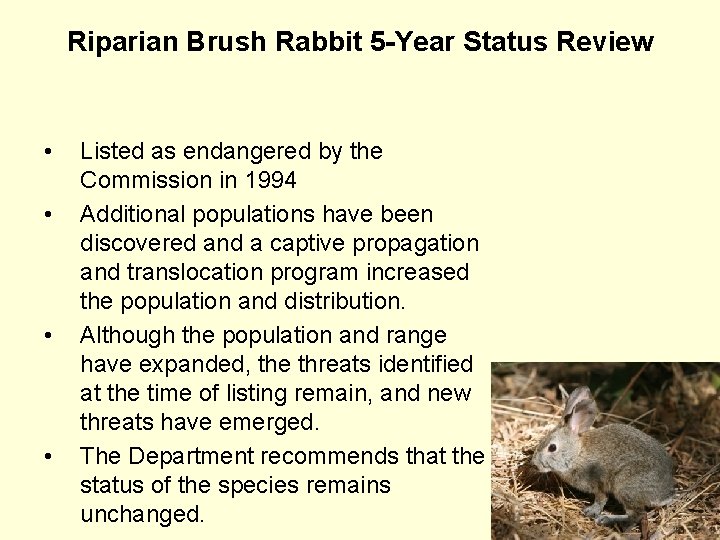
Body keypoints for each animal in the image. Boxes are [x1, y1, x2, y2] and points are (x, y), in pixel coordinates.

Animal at [531, 386, 674, 529]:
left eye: (552, 447)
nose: (535, 464)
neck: (577, 454)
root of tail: (664, 494)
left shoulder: (597, 482)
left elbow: (601, 499)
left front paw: (591, 511)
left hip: (625, 485)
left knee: (637, 515)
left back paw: (607, 520)